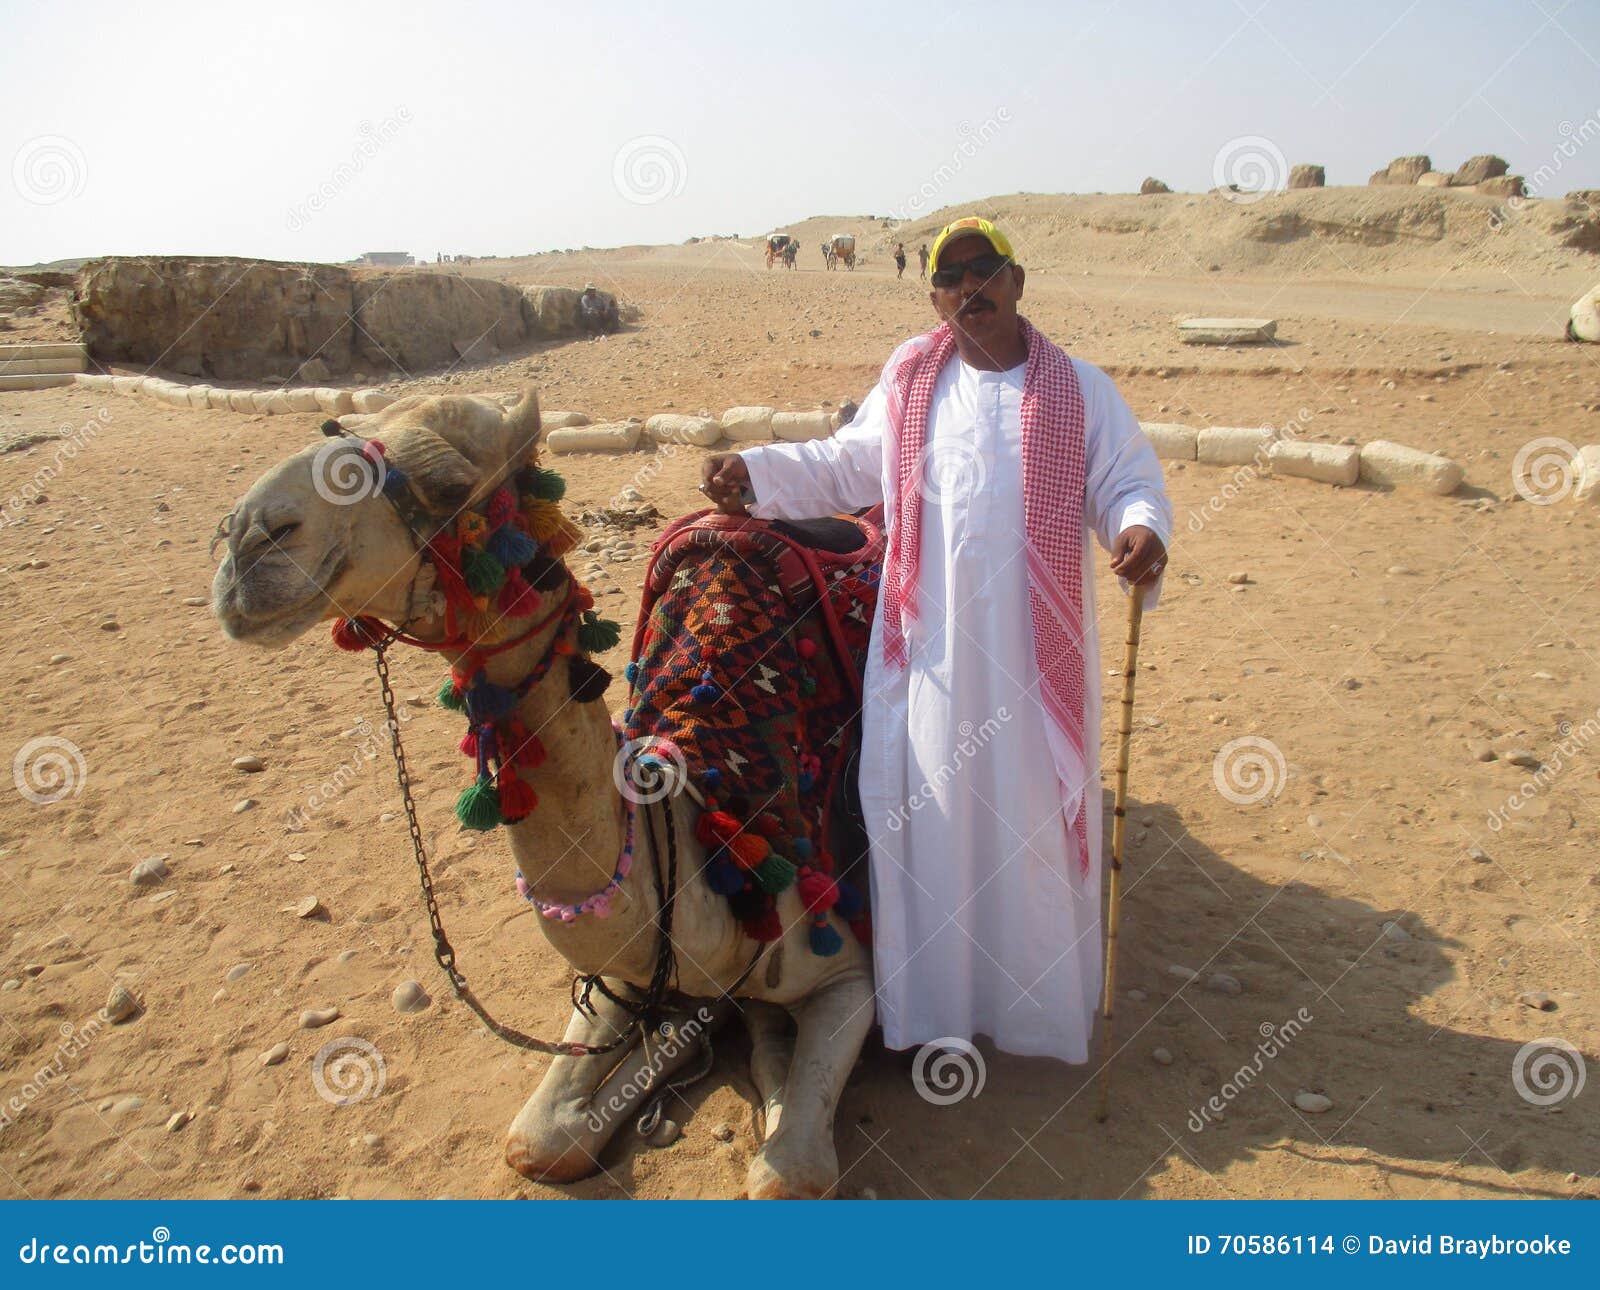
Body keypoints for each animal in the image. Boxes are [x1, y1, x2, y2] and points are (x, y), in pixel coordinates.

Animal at [209, 388, 876, 1198]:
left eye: (449, 483)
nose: (248, 542)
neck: (711, 815)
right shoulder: (627, 968)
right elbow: (539, 1142)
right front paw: (689, 1033)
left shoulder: (848, 966)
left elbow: (791, 1174)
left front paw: (757, 1060)